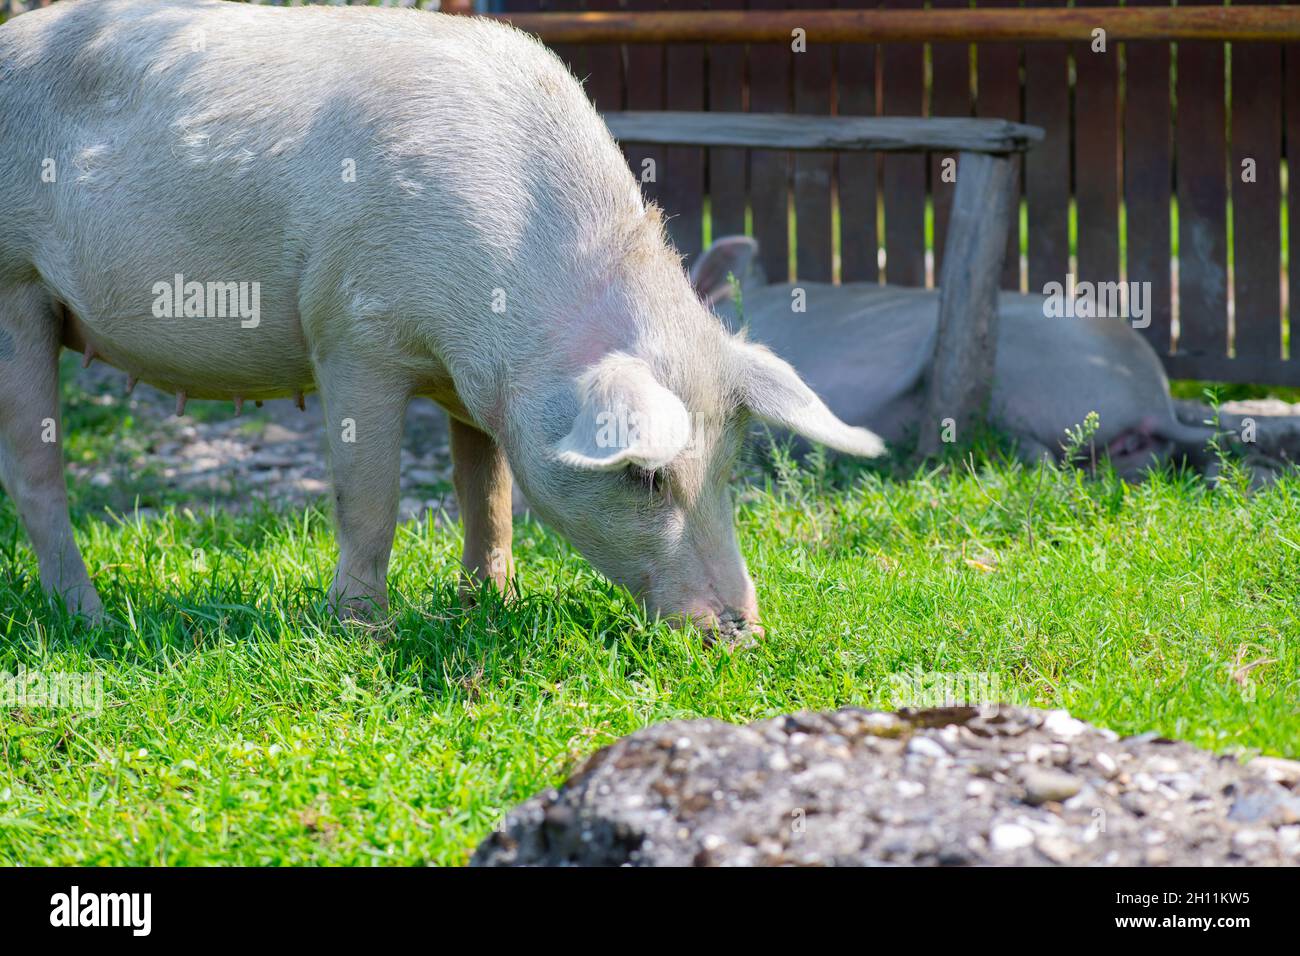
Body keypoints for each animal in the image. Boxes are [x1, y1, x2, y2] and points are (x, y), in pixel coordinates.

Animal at [0, 0, 884, 636]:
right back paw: (92, 621)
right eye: (643, 474)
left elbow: (486, 493)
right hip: (16, 287)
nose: (744, 635)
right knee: (34, 475)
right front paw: (364, 631)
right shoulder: (352, 333)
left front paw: (491, 604)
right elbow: (372, 497)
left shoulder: (476, 391)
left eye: (730, 467)